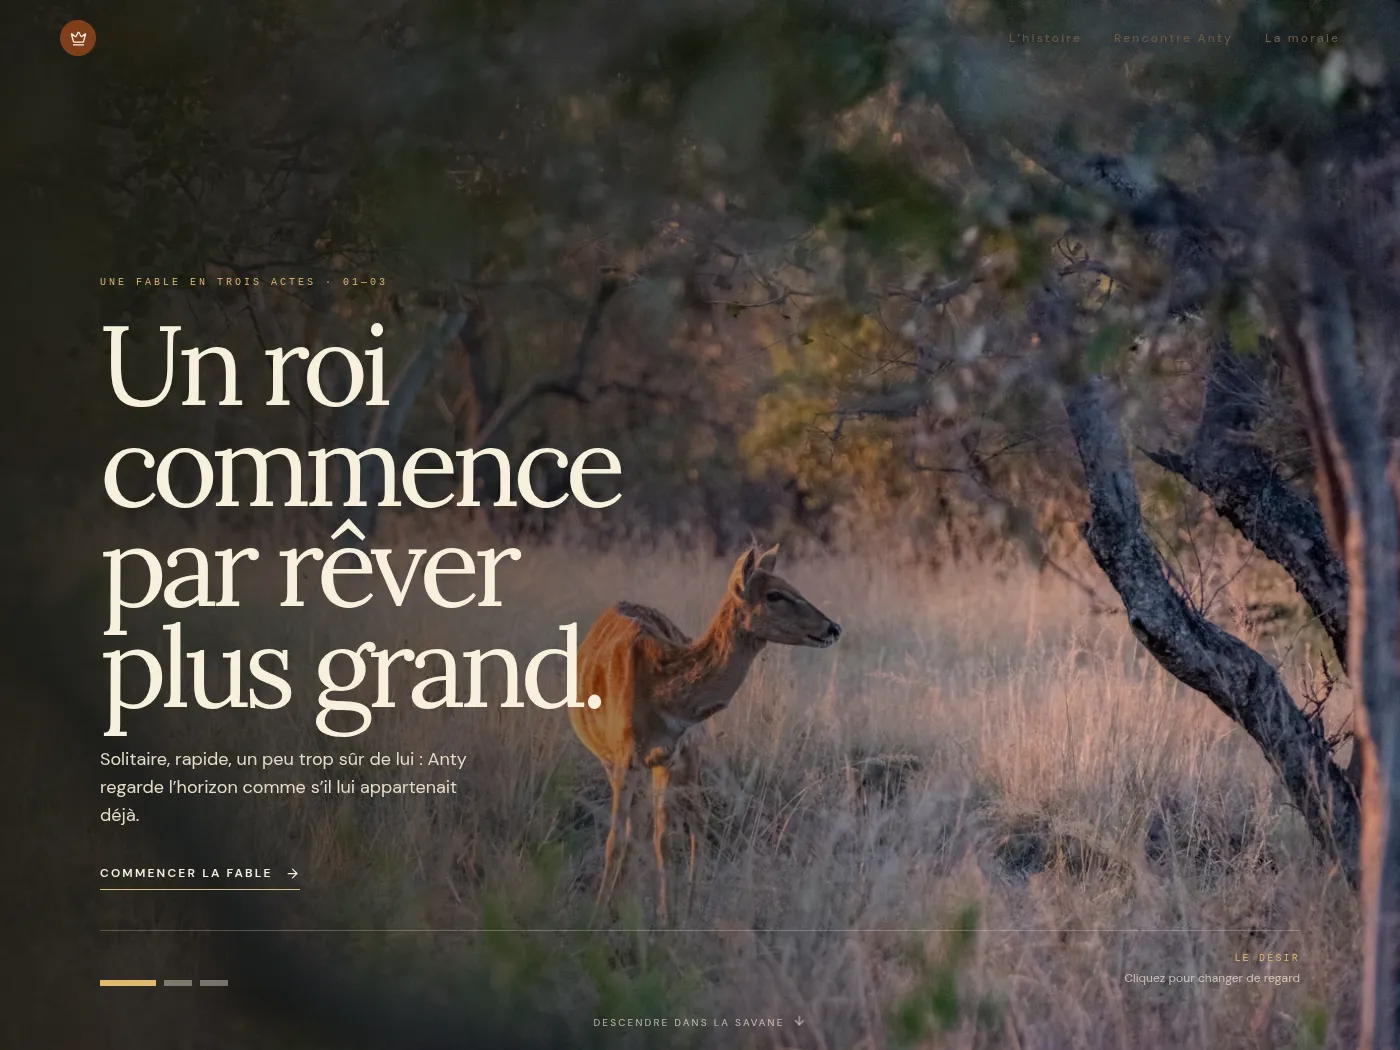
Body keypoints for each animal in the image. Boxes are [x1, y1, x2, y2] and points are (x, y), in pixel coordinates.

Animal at [570, 544, 841, 924]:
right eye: (775, 594)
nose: (833, 627)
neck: (660, 688)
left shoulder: (668, 755)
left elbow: (663, 839)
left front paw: (665, 917)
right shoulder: (624, 757)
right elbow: (617, 839)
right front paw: (599, 915)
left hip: (689, 756)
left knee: (691, 825)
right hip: (619, 761)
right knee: (638, 827)